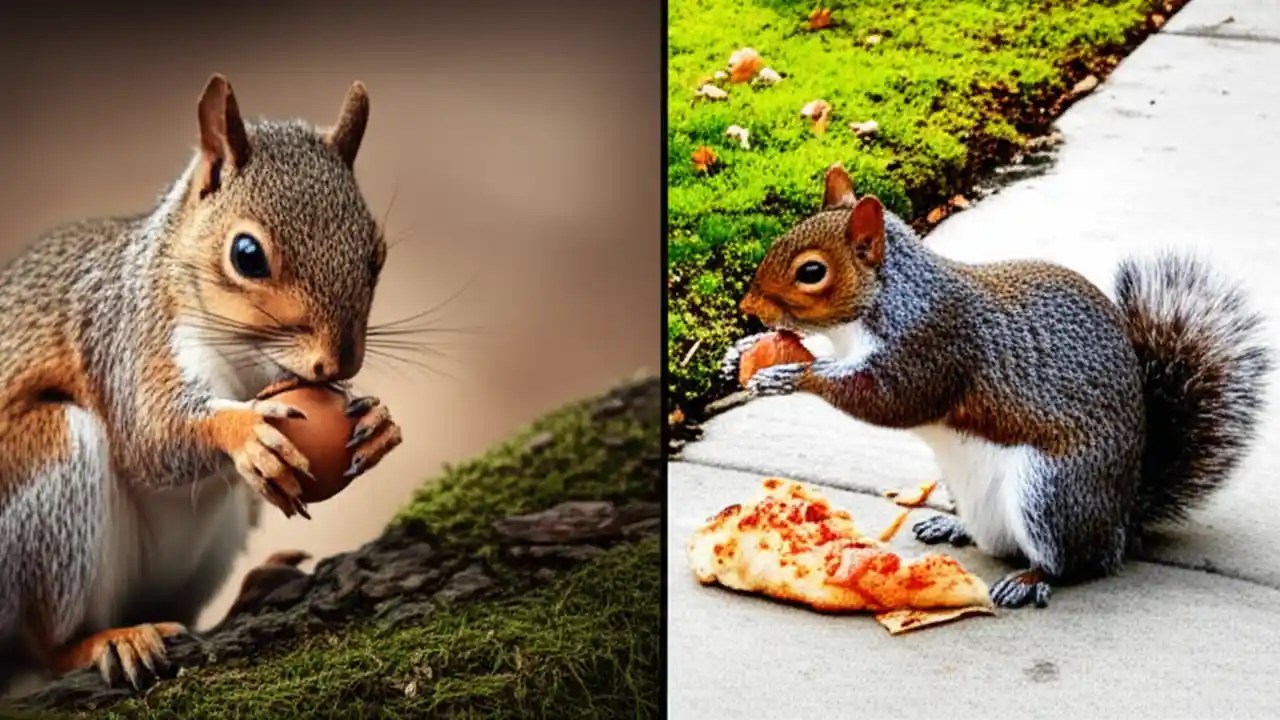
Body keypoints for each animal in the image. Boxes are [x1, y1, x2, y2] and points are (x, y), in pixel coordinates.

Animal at [0, 74, 403, 690]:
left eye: (375, 255)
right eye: (247, 254)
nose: (336, 364)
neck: (247, 355)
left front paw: (379, 420)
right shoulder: (129, 340)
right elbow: (151, 436)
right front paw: (245, 433)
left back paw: (251, 593)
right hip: (47, 476)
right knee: (45, 648)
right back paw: (104, 641)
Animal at [723, 163, 1272, 609]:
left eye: (812, 271)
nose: (748, 307)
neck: (886, 300)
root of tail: (1120, 522)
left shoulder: (934, 346)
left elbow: (889, 398)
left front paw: (790, 375)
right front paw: (740, 351)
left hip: (1051, 493)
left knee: (1070, 562)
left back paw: (1033, 578)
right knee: (998, 540)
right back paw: (953, 525)